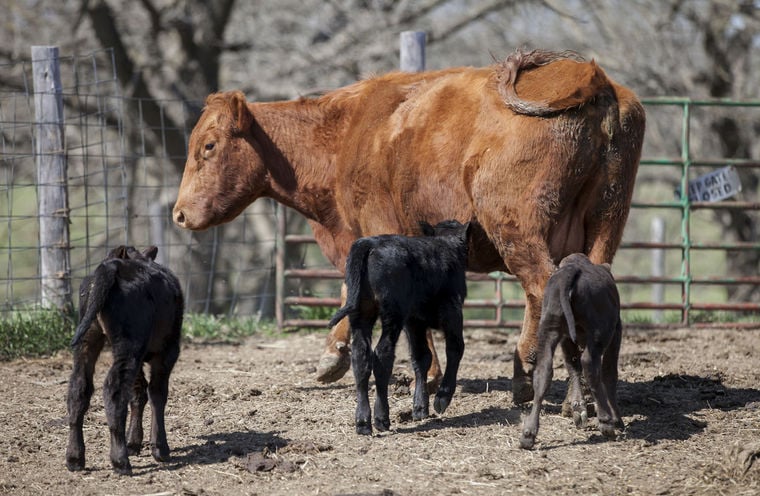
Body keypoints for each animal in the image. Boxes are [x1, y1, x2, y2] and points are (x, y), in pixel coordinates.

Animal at [66, 246, 184, 475]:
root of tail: (111, 266)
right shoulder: (167, 350)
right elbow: (157, 393)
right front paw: (160, 448)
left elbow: (138, 393)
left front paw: (134, 442)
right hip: (129, 344)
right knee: (114, 390)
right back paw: (120, 460)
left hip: (88, 339)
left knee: (79, 387)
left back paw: (75, 458)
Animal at [172, 48, 645, 405]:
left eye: (208, 147)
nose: (178, 214)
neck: (346, 134)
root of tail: (594, 78)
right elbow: (350, 292)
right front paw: (332, 357)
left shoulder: (380, 233)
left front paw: (428, 374)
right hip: (605, 226)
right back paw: (595, 390)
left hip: (517, 228)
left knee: (542, 289)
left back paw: (534, 380)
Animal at [328, 220, 470, 435]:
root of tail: (369, 243)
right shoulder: (452, 309)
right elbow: (455, 348)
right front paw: (442, 398)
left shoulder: (414, 320)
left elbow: (422, 357)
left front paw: (420, 407)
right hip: (392, 312)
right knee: (382, 354)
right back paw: (381, 418)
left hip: (361, 312)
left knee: (361, 357)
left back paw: (363, 422)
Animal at [519, 253, 624, 449]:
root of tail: (570, 272)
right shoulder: (616, 330)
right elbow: (609, 373)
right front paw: (617, 419)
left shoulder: (566, 338)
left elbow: (572, 365)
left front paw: (578, 409)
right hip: (599, 333)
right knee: (590, 365)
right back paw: (606, 422)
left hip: (550, 328)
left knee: (544, 371)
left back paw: (528, 434)